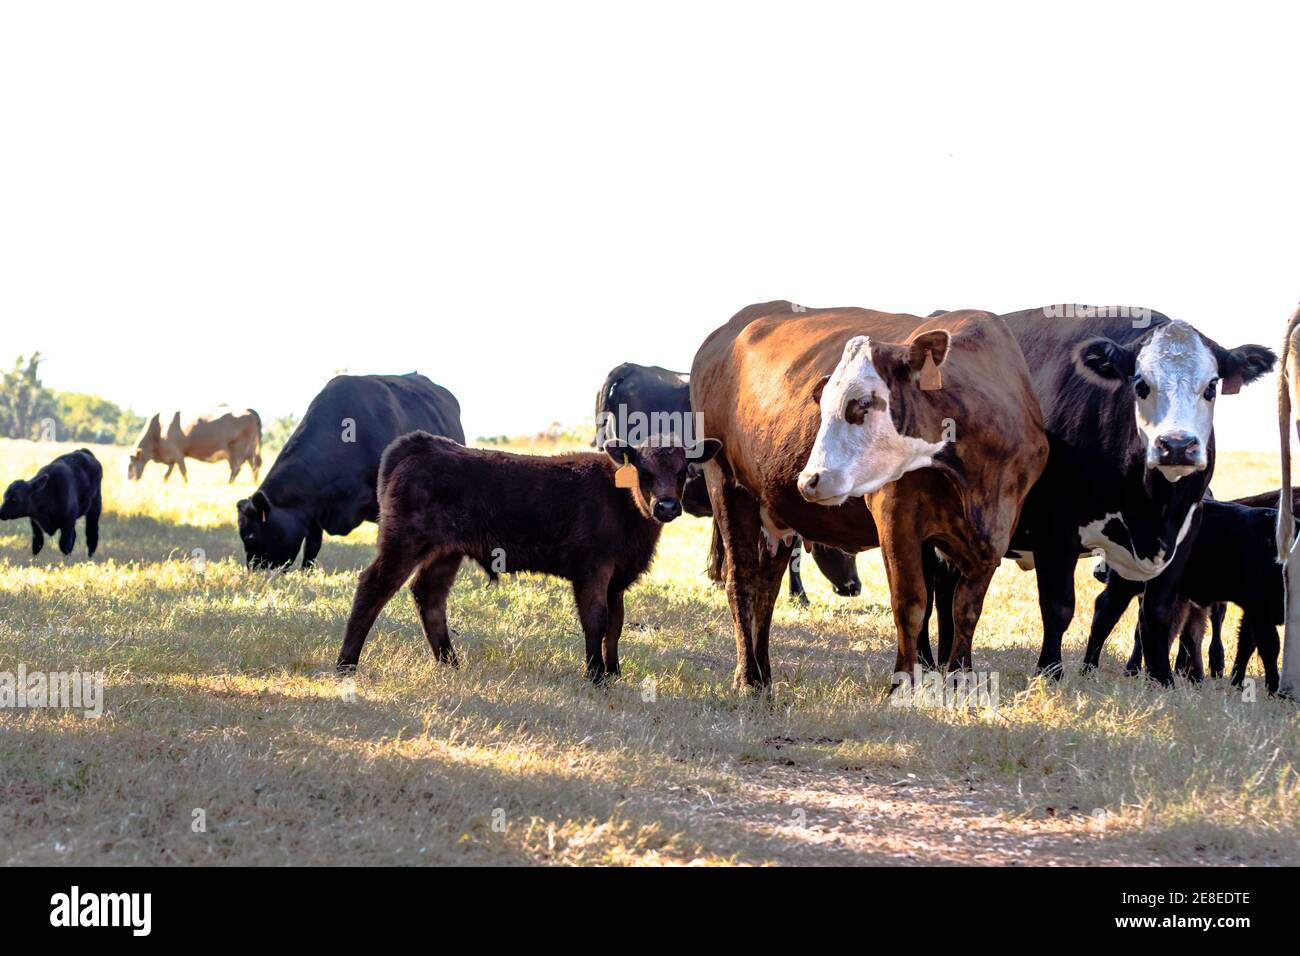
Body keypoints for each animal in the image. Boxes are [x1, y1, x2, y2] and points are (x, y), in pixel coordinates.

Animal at [128, 408, 262, 484]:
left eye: (130, 466)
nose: (129, 480)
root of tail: (249, 410)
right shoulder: (170, 458)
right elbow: (166, 475)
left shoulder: (177, 454)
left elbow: (183, 472)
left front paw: (186, 485)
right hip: (250, 451)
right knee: (254, 467)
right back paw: (255, 484)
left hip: (238, 450)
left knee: (236, 468)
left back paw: (229, 484)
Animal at [335, 431, 721, 680]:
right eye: (645, 471)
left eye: (683, 471)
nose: (667, 506)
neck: (625, 505)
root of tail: (419, 443)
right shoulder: (593, 568)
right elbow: (596, 620)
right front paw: (595, 675)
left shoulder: (619, 577)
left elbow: (616, 625)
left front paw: (614, 673)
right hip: (404, 540)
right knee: (373, 587)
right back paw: (346, 664)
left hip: (446, 552)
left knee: (429, 596)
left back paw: (450, 663)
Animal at [691, 301, 1048, 691]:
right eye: (822, 404)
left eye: (863, 402)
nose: (810, 480)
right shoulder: (896, 517)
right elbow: (911, 604)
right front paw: (902, 686)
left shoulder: (996, 530)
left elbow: (965, 609)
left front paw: (961, 681)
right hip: (725, 483)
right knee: (740, 581)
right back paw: (746, 679)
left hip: (775, 511)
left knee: (766, 588)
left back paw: (763, 678)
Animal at [928, 307, 1274, 685]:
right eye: (1140, 384)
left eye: (1211, 386)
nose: (1177, 445)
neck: (1152, 508)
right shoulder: (1056, 530)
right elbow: (1059, 606)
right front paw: (1050, 672)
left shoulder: (1184, 531)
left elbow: (1156, 612)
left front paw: (1161, 678)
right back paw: (926, 659)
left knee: (948, 590)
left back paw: (945, 659)